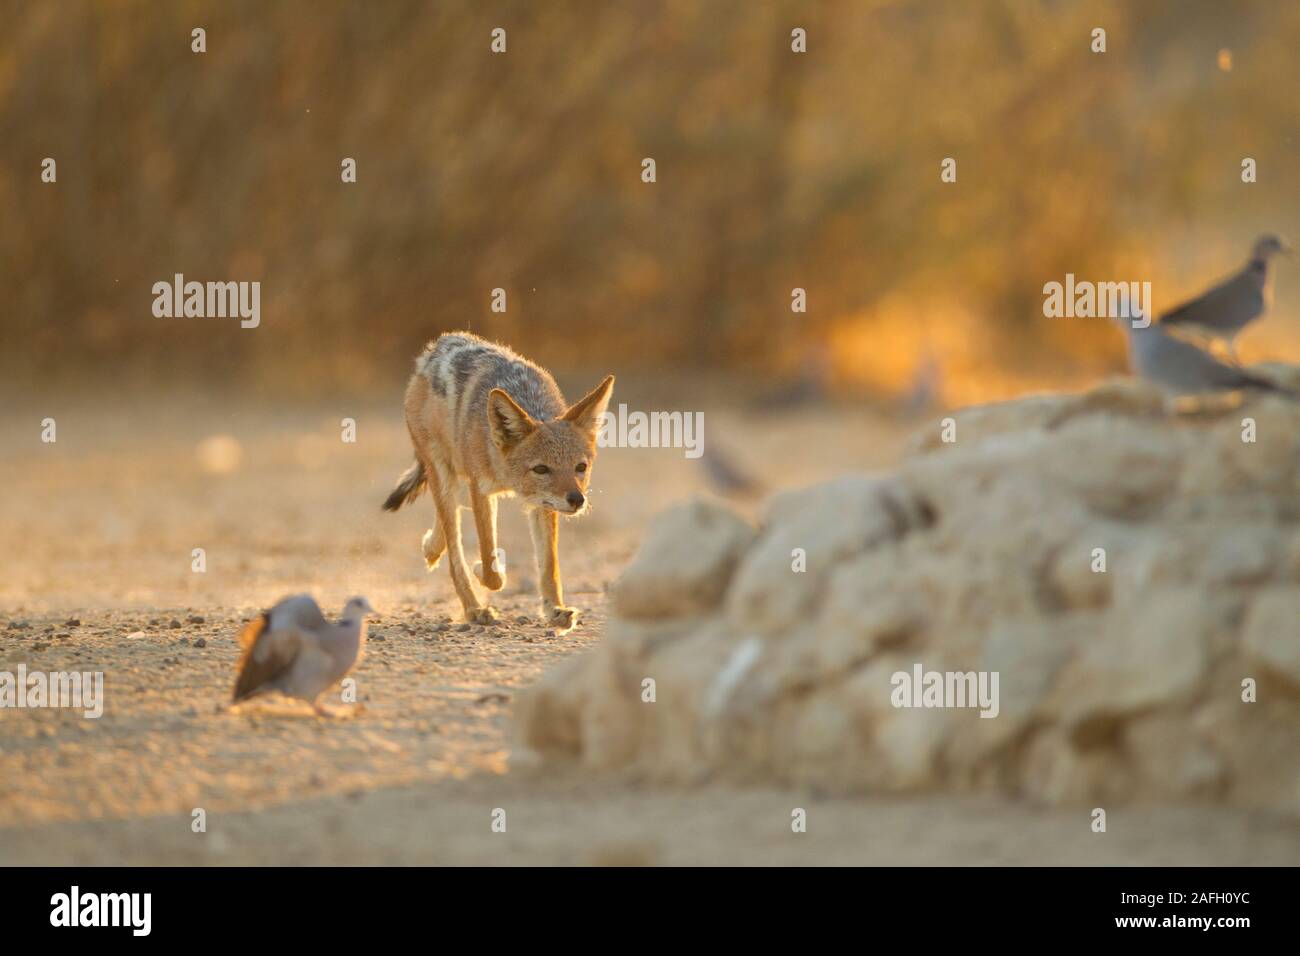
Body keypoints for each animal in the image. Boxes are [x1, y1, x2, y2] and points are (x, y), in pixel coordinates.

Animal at [382, 332, 615, 630]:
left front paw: (554, 610)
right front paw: (484, 571)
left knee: (448, 517)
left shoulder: (544, 505)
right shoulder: (481, 489)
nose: (577, 500)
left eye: (580, 467)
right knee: (454, 550)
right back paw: (474, 608)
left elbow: (549, 565)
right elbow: (490, 562)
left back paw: (432, 548)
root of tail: (434, 349)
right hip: (444, 472)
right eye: (541, 469)